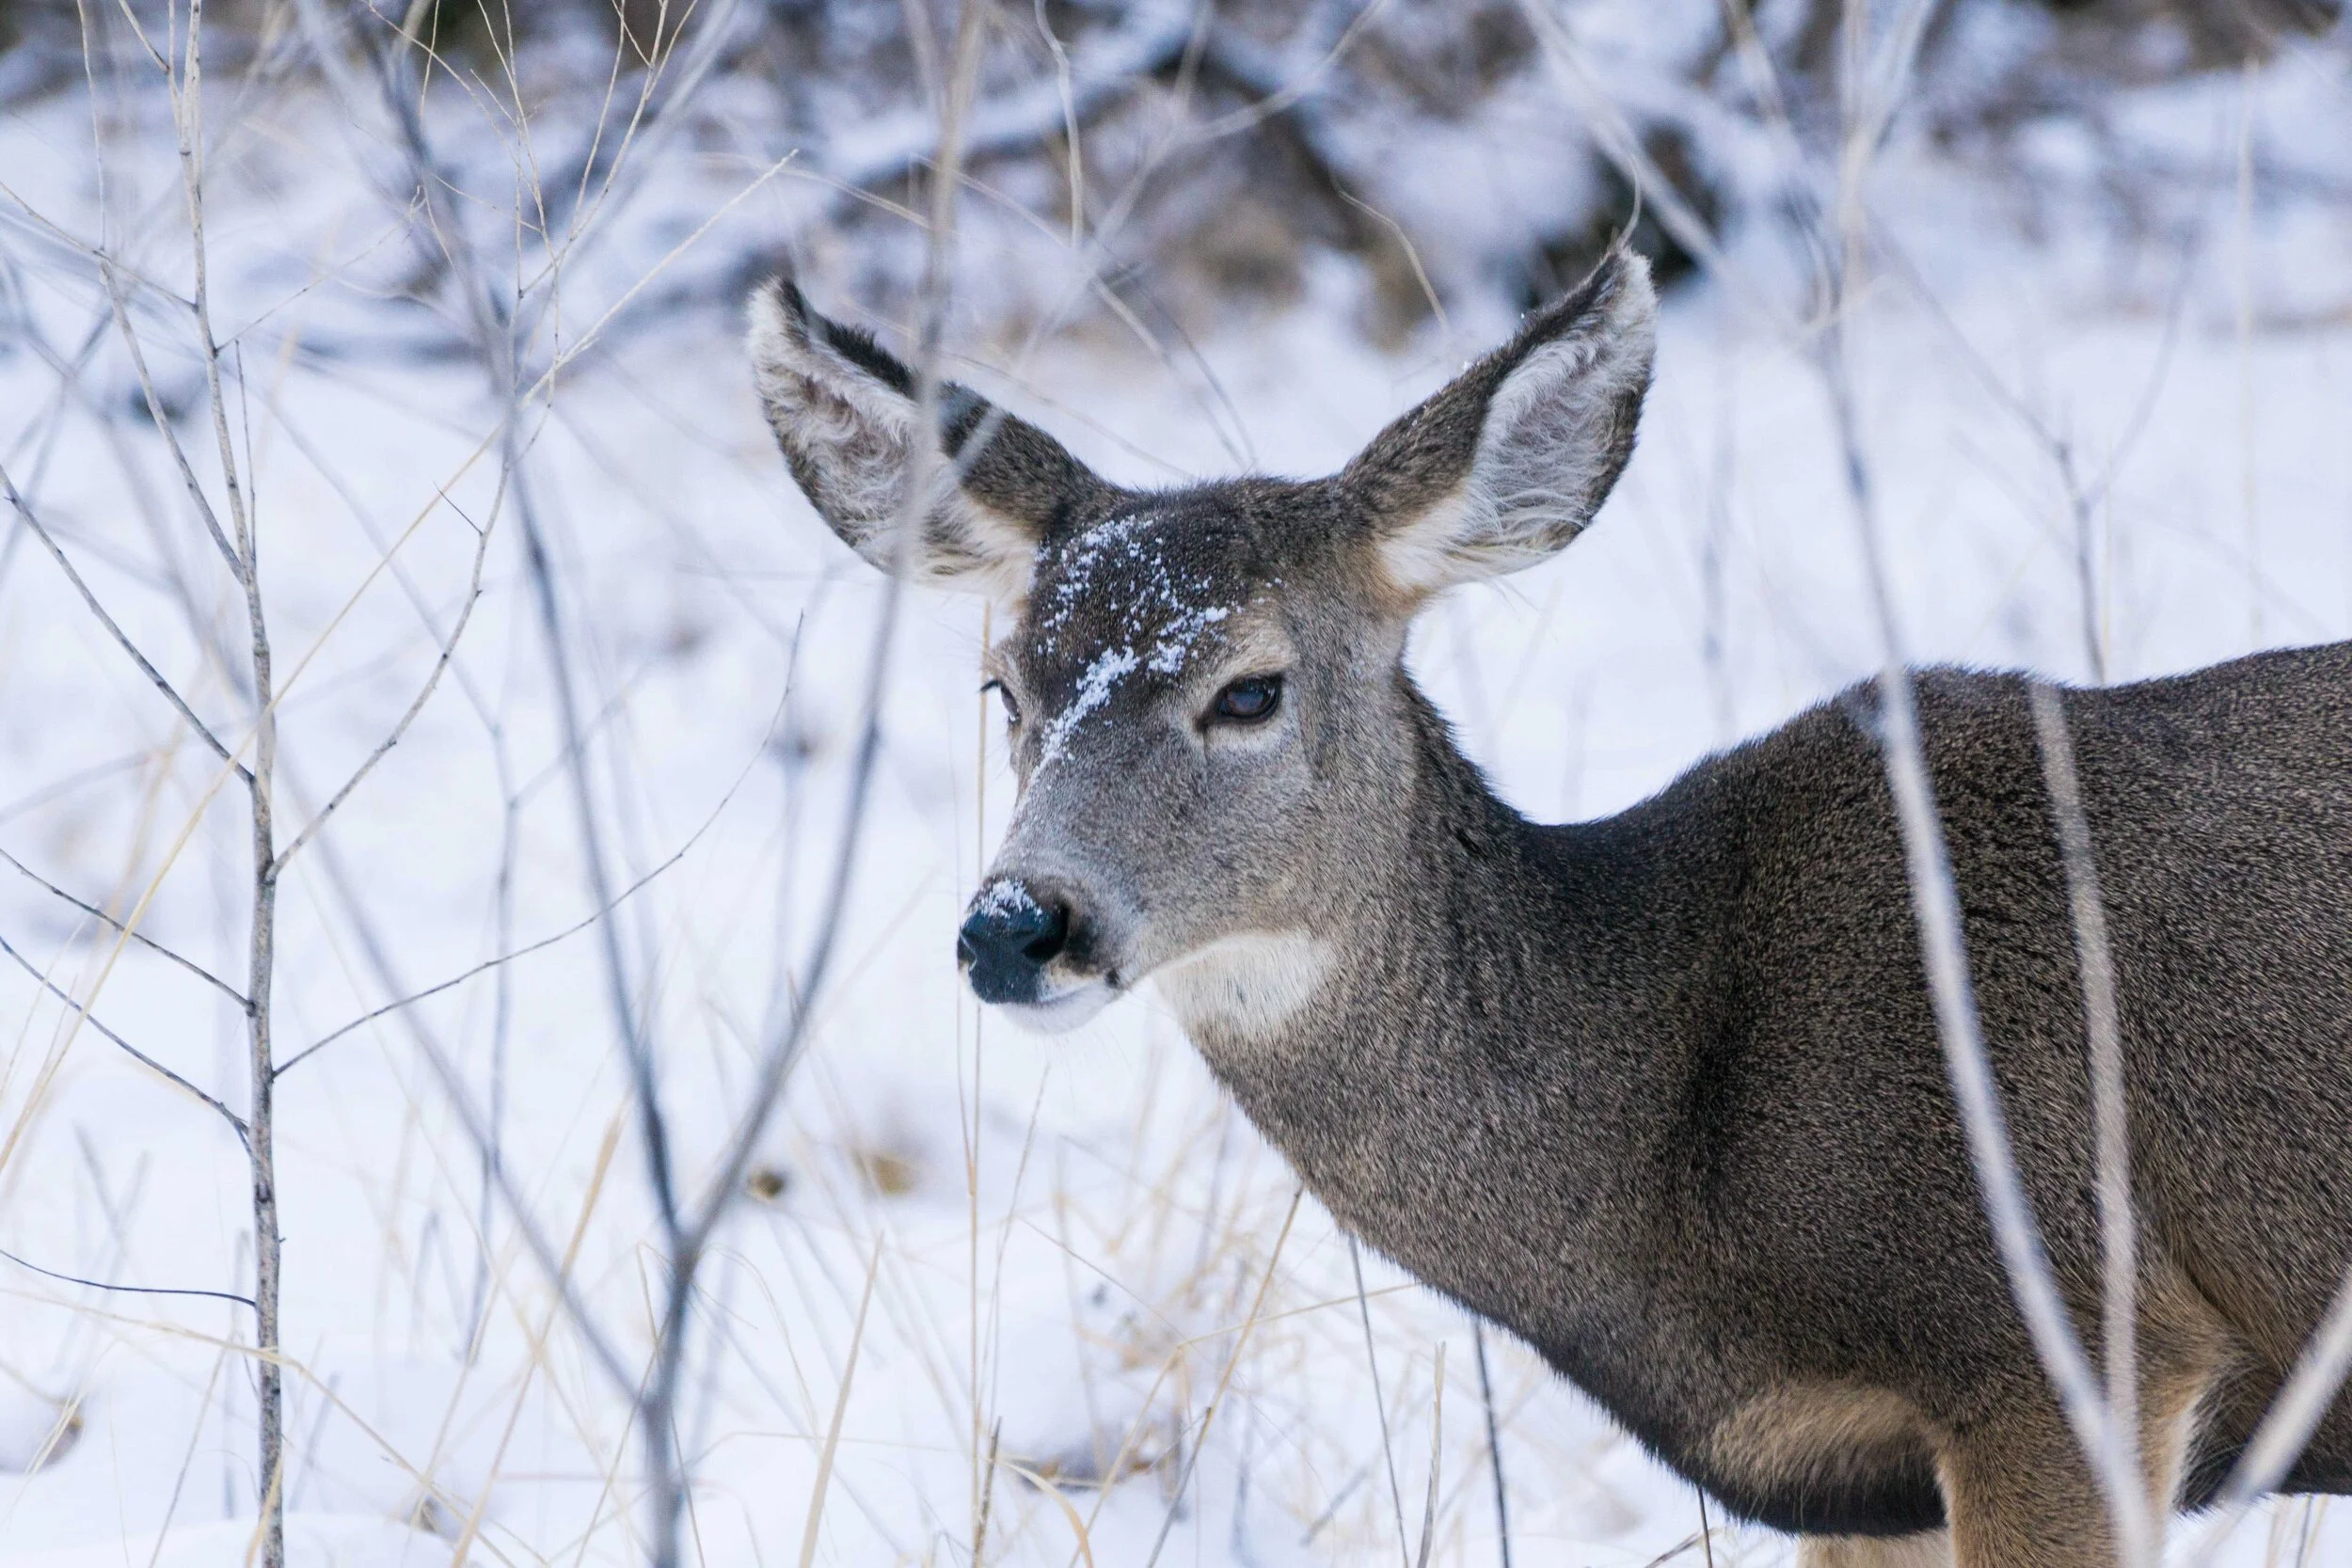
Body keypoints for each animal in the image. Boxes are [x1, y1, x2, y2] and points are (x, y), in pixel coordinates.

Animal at [745, 250, 2352, 1568]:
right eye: (1002, 688)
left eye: (1250, 688)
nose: (1018, 923)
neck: (1669, 1137)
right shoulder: (1862, 1470)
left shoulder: (2074, 1335)